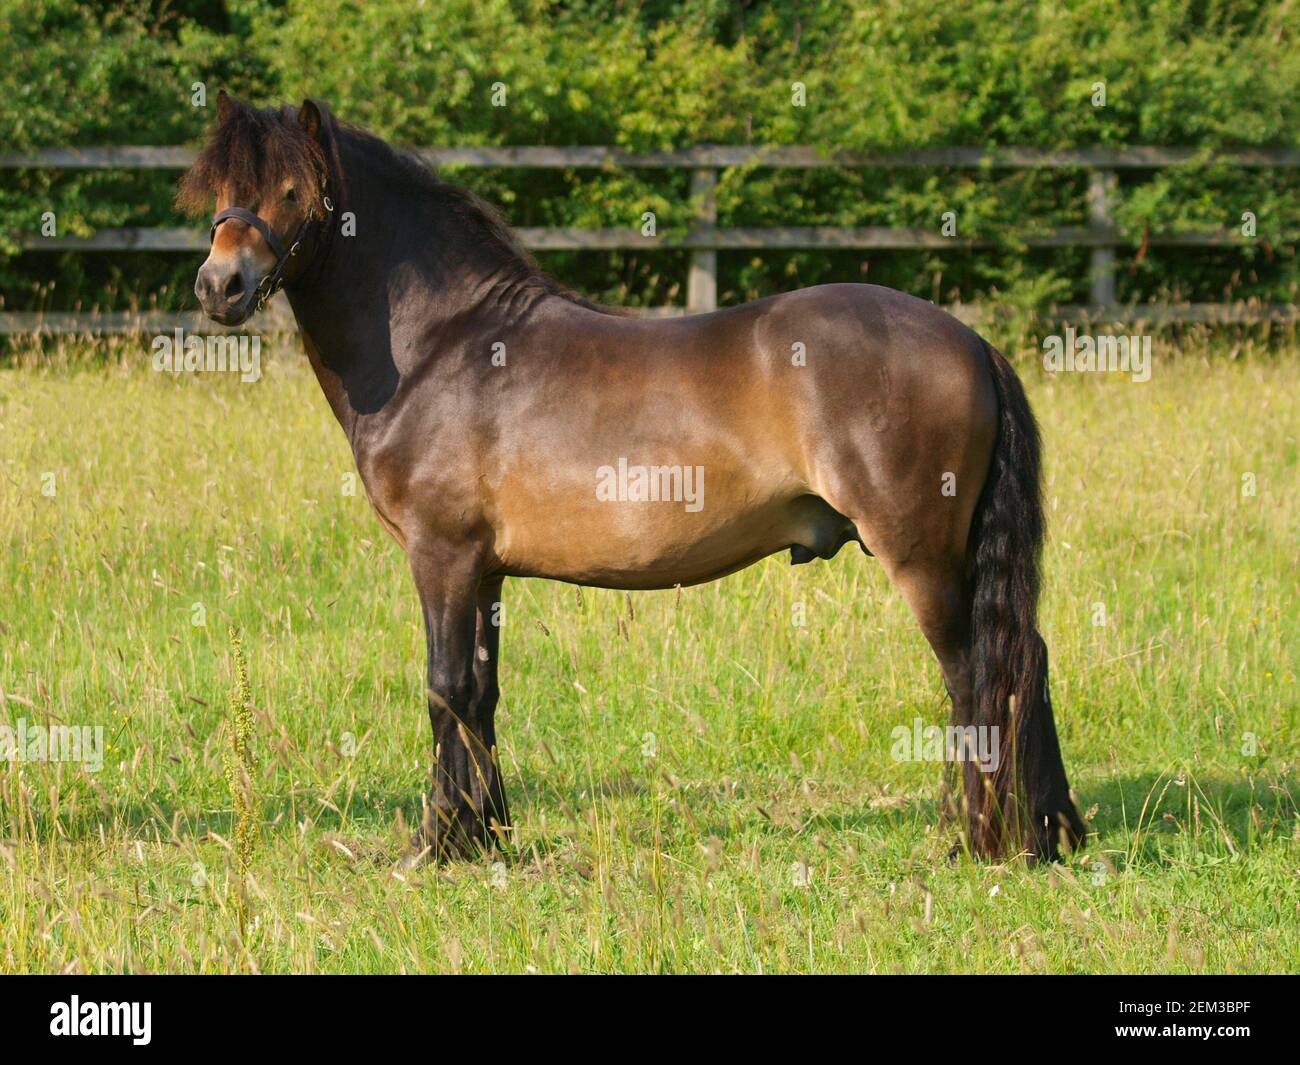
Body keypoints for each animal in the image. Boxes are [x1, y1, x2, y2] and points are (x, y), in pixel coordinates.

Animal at [180, 92, 1086, 863]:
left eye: (293, 189)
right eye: (221, 188)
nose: (220, 287)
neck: (446, 344)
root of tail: (970, 341)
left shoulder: (441, 556)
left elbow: (444, 688)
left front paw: (436, 844)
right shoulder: (485, 569)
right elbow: (481, 692)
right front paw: (486, 837)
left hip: (921, 554)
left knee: (977, 672)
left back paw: (981, 838)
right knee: (1028, 657)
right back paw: (1052, 833)